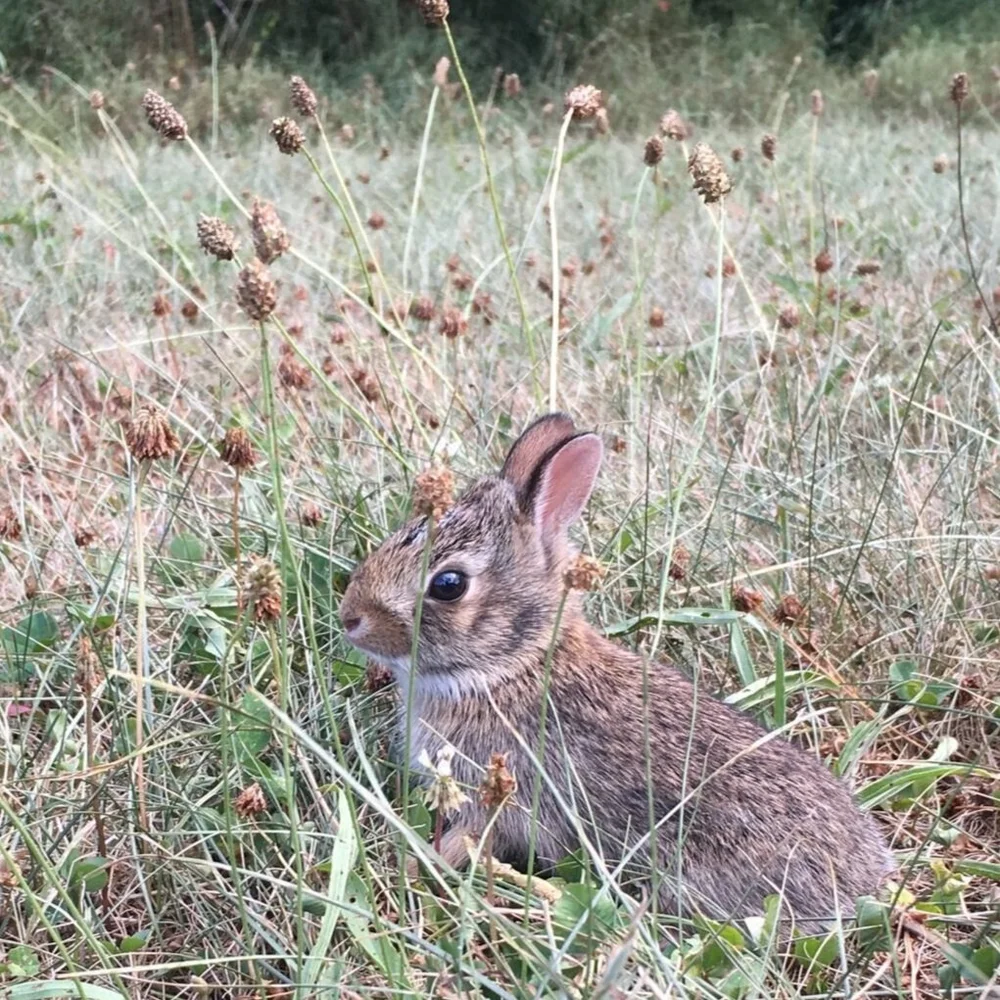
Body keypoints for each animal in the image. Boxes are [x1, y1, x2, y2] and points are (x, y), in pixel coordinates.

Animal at [339, 412, 894, 925]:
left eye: (448, 584)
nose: (350, 618)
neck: (512, 665)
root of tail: (869, 882)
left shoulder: (498, 797)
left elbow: (465, 840)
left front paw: (413, 866)